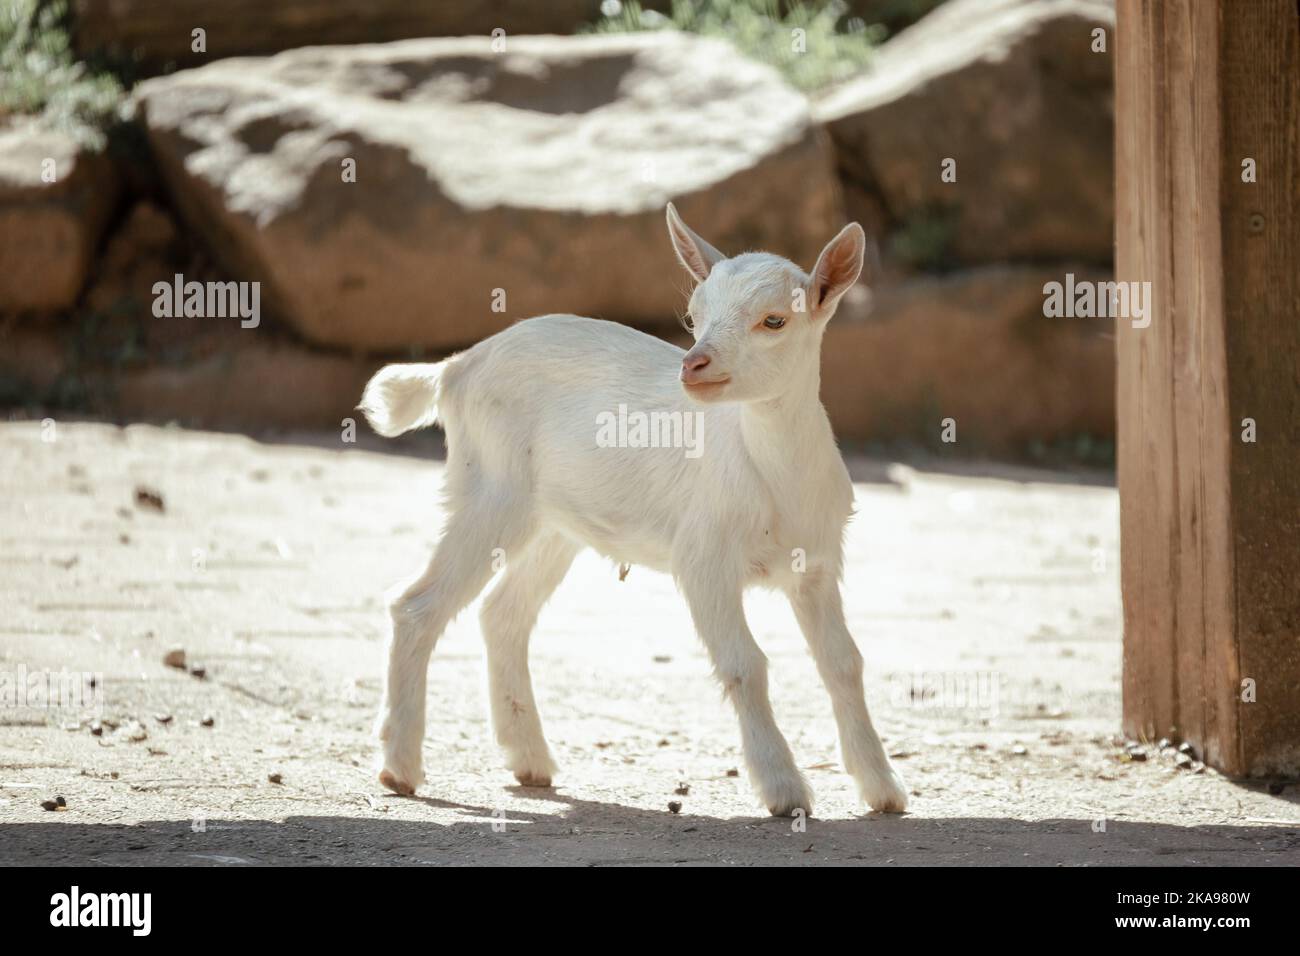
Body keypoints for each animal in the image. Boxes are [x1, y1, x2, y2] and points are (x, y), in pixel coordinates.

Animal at [359, 204, 909, 816]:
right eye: (693, 316)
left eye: (774, 321)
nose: (694, 365)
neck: (771, 472)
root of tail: (455, 367)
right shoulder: (703, 559)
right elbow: (747, 665)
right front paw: (784, 790)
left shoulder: (816, 565)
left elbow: (844, 664)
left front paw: (883, 788)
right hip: (491, 492)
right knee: (416, 606)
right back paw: (402, 768)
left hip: (553, 524)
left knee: (502, 614)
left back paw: (529, 761)